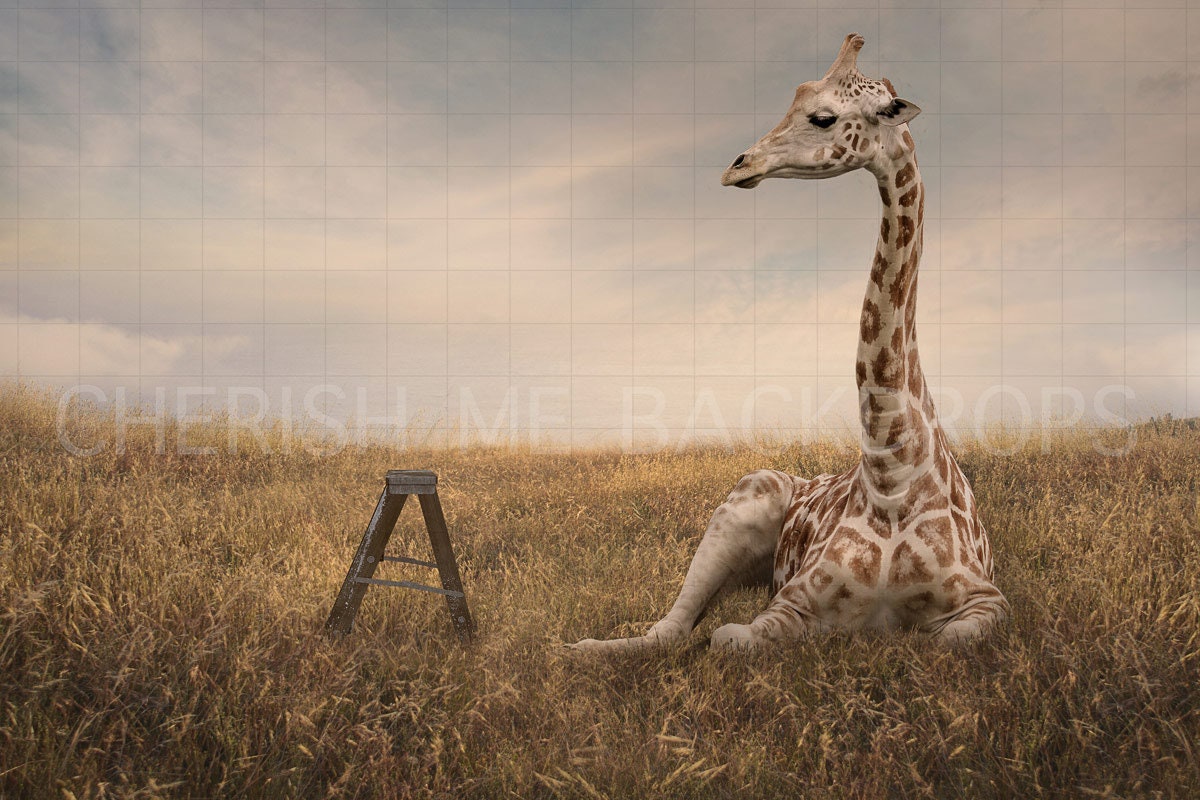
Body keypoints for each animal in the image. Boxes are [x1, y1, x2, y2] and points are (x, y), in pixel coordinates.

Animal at [572, 34, 1008, 651]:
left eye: (822, 117)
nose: (737, 167)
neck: (892, 477)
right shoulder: (791, 600)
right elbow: (724, 638)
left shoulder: (985, 599)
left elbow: (945, 639)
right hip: (741, 502)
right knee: (673, 630)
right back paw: (583, 649)